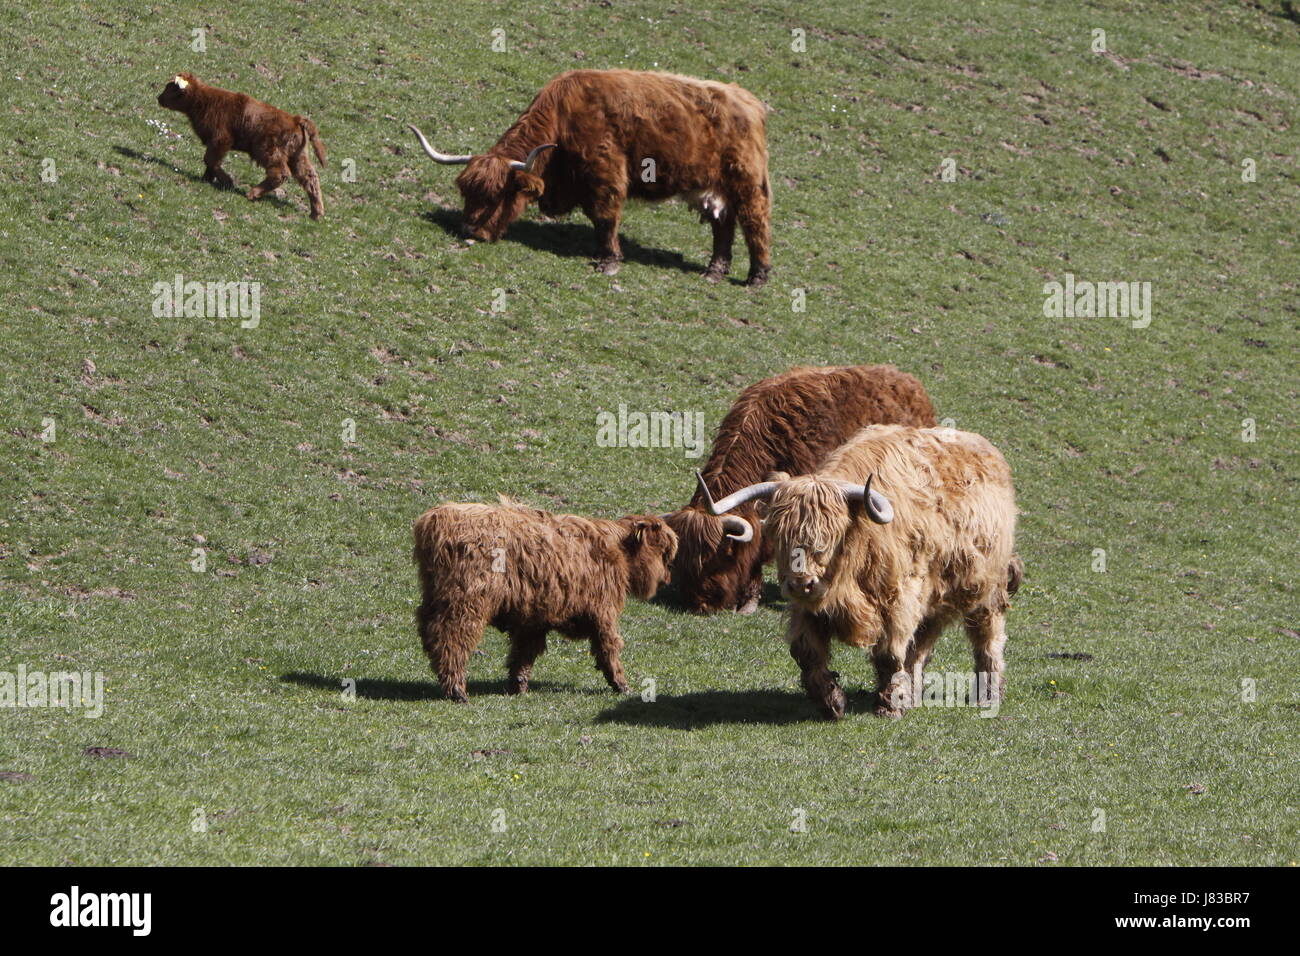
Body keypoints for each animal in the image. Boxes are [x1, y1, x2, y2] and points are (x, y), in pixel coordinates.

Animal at [157, 72, 327, 219]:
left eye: (170, 87)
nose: (158, 98)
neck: (204, 100)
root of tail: (295, 119)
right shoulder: (215, 142)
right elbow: (210, 161)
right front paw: (206, 179)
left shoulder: (221, 139)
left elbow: (210, 159)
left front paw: (227, 182)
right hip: (297, 156)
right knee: (310, 177)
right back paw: (316, 213)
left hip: (269, 150)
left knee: (281, 173)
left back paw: (253, 193)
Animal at [407, 69, 773, 285]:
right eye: (467, 193)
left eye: (498, 195)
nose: (469, 230)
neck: (564, 116)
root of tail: (748, 100)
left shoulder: (606, 174)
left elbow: (604, 218)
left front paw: (608, 261)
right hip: (714, 189)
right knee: (723, 227)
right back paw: (714, 271)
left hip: (747, 183)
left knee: (755, 223)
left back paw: (757, 276)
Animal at [412, 499, 677, 702]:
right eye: (664, 553)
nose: (667, 579)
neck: (617, 550)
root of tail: (435, 519)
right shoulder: (603, 612)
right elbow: (609, 648)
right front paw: (621, 684)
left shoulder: (533, 618)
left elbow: (524, 653)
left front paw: (518, 686)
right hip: (464, 602)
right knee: (450, 638)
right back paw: (457, 690)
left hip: (436, 597)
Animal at [696, 425, 1020, 720]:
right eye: (778, 532)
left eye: (830, 536)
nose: (801, 583)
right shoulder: (808, 608)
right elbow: (807, 652)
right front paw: (832, 702)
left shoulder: (900, 599)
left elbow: (890, 654)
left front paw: (890, 706)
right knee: (923, 645)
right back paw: (914, 693)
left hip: (986, 588)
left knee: (987, 638)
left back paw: (988, 694)